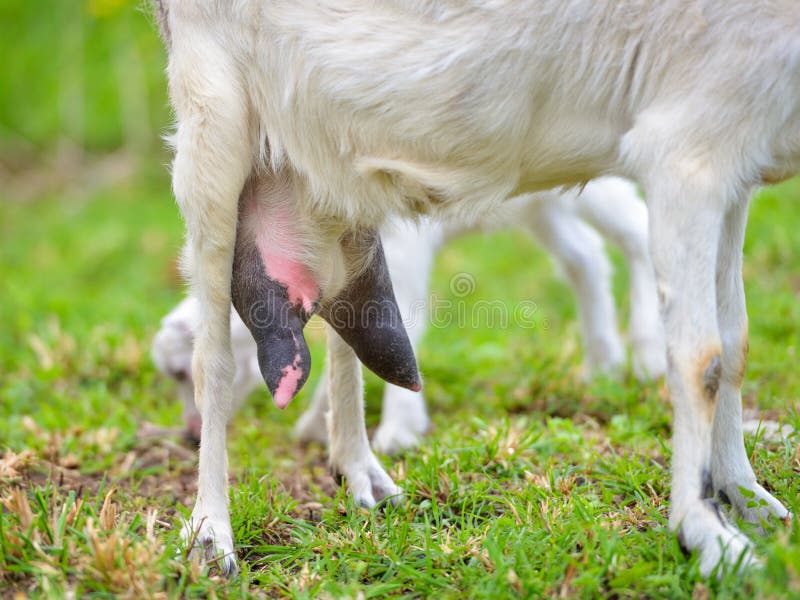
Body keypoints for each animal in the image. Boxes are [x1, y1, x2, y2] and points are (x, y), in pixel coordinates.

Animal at [153, 177, 664, 451]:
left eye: (181, 374)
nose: (193, 433)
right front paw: (321, 423)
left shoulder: (397, 252)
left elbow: (397, 329)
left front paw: (399, 430)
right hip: (541, 204)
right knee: (585, 257)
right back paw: (603, 365)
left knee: (636, 228)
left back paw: (648, 353)